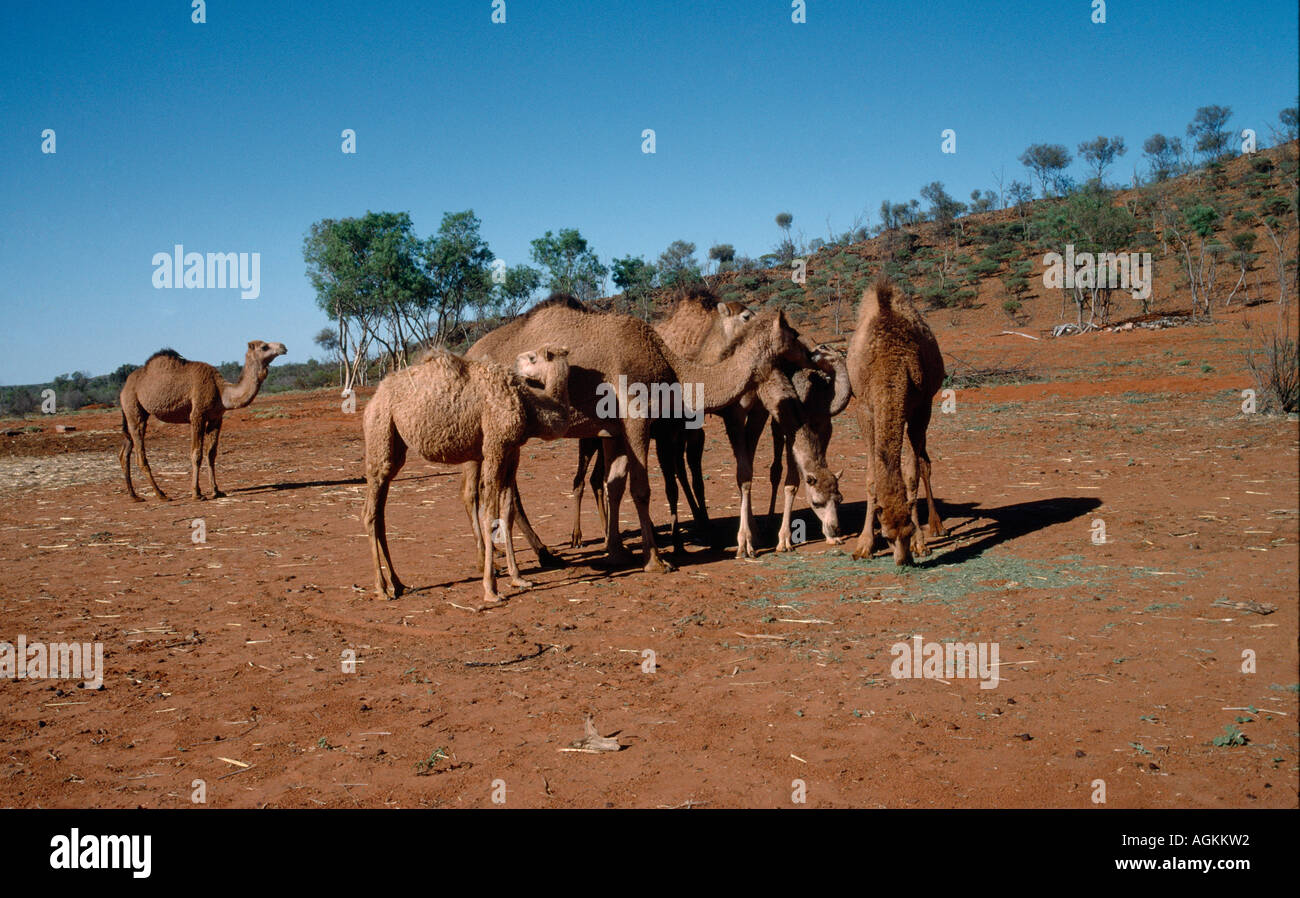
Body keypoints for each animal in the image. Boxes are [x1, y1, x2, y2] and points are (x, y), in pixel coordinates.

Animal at [118, 341, 287, 501]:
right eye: (264, 347)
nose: (283, 347)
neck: (221, 391)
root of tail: (124, 387)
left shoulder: (216, 418)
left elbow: (211, 454)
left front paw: (216, 490)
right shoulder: (197, 415)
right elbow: (196, 454)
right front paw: (197, 493)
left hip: (137, 413)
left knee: (124, 452)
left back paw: (134, 496)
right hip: (133, 407)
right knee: (140, 455)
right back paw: (161, 495)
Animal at [362, 345, 571, 602]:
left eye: (532, 358)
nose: (517, 361)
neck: (527, 403)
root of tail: (372, 401)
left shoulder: (512, 450)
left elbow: (507, 512)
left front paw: (518, 578)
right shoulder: (494, 446)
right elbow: (489, 512)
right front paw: (491, 589)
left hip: (394, 447)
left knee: (380, 513)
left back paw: (398, 584)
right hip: (379, 432)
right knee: (370, 513)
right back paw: (381, 588)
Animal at [462, 294, 814, 574]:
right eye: (793, 333)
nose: (812, 352)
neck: (673, 368)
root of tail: (468, 353)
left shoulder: (615, 429)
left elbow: (614, 485)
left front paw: (617, 552)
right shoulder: (637, 416)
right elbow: (641, 489)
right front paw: (656, 560)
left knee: (506, 490)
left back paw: (541, 554)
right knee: (474, 490)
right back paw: (493, 560)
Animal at [765, 343, 853, 550]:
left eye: (841, 500)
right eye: (816, 502)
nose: (810, 354)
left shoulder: (825, 428)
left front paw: (831, 537)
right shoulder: (792, 431)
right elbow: (792, 484)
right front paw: (784, 540)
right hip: (776, 425)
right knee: (776, 469)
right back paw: (770, 519)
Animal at [846, 277, 946, 565]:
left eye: (908, 530)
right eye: (888, 536)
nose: (903, 561)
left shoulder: (920, 407)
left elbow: (912, 474)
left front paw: (920, 544)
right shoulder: (865, 408)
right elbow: (871, 478)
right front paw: (864, 544)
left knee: (925, 463)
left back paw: (937, 526)